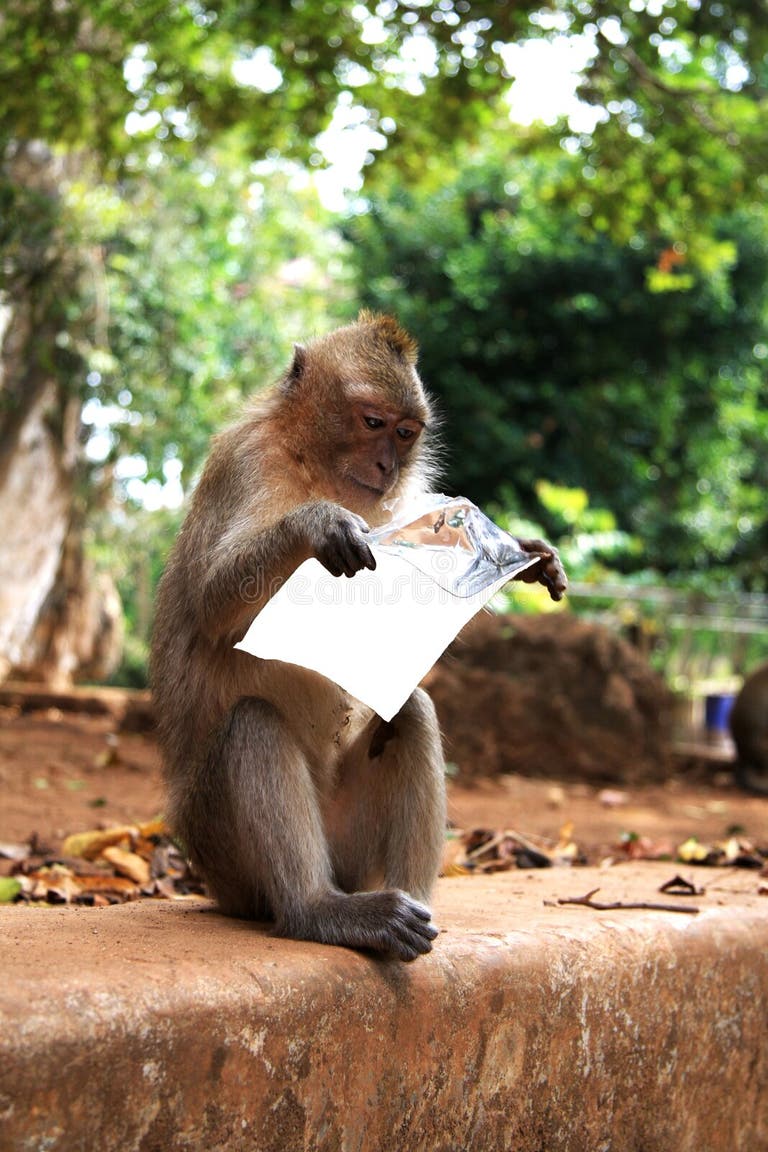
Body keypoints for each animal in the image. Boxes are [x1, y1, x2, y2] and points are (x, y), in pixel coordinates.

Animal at [150, 312, 567, 961]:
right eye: (372, 423)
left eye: (405, 433)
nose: (387, 467)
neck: (311, 460)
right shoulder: (248, 464)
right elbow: (212, 601)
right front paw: (317, 524)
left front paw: (516, 552)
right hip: (225, 857)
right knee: (253, 725)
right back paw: (318, 911)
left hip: (350, 842)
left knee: (411, 711)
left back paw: (408, 902)